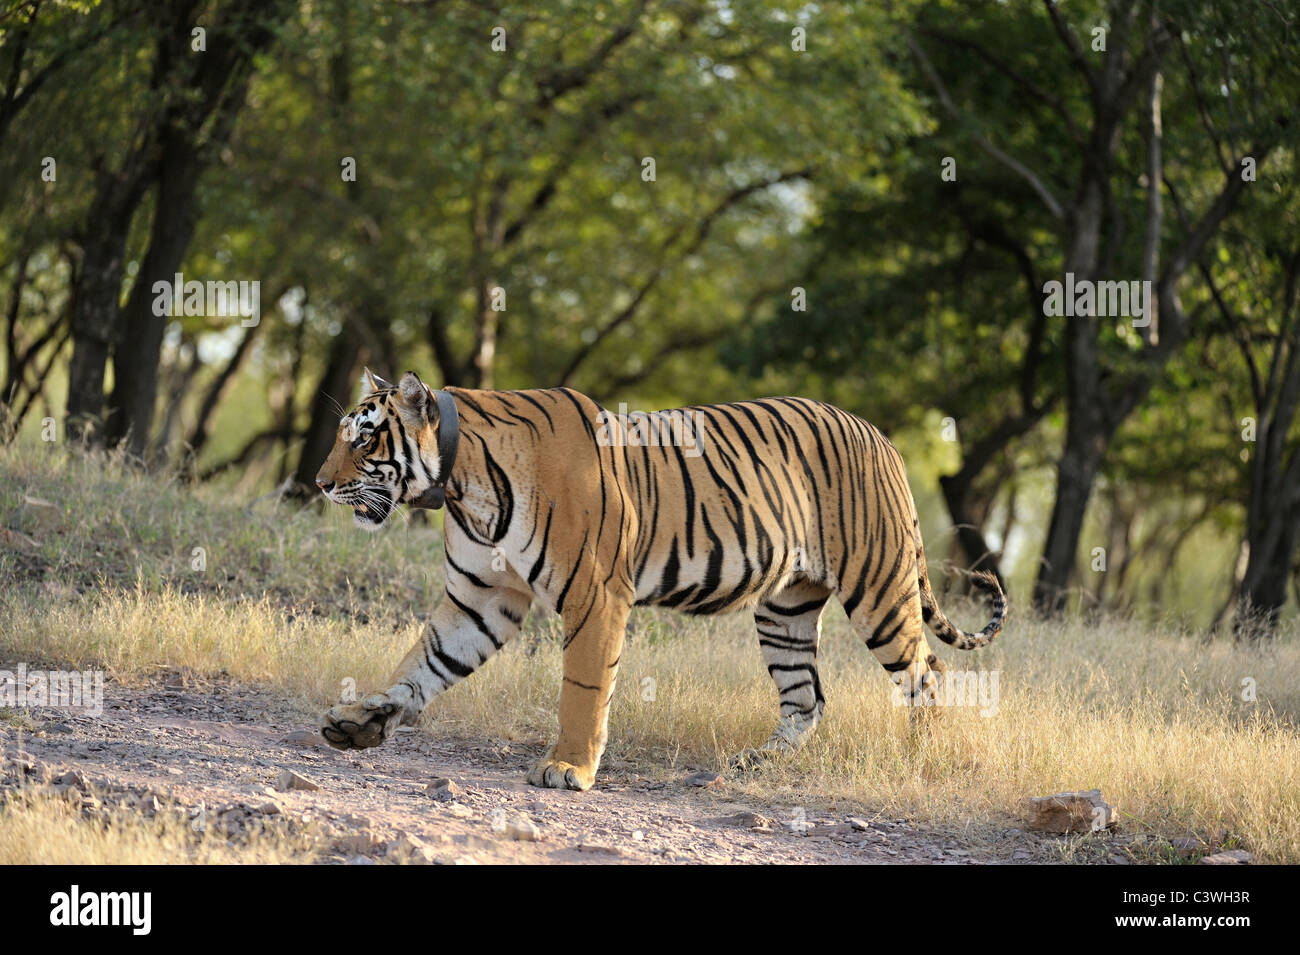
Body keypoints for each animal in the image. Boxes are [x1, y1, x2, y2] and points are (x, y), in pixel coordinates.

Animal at [315, 369, 1006, 791]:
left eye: (364, 439)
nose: (320, 483)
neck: (462, 485)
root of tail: (882, 436)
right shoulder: (480, 598)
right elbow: (421, 665)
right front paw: (362, 721)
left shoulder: (594, 595)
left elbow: (584, 687)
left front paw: (567, 768)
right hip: (784, 611)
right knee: (806, 698)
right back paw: (754, 765)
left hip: (878, 589)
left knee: (929, 673)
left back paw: (917, 761)